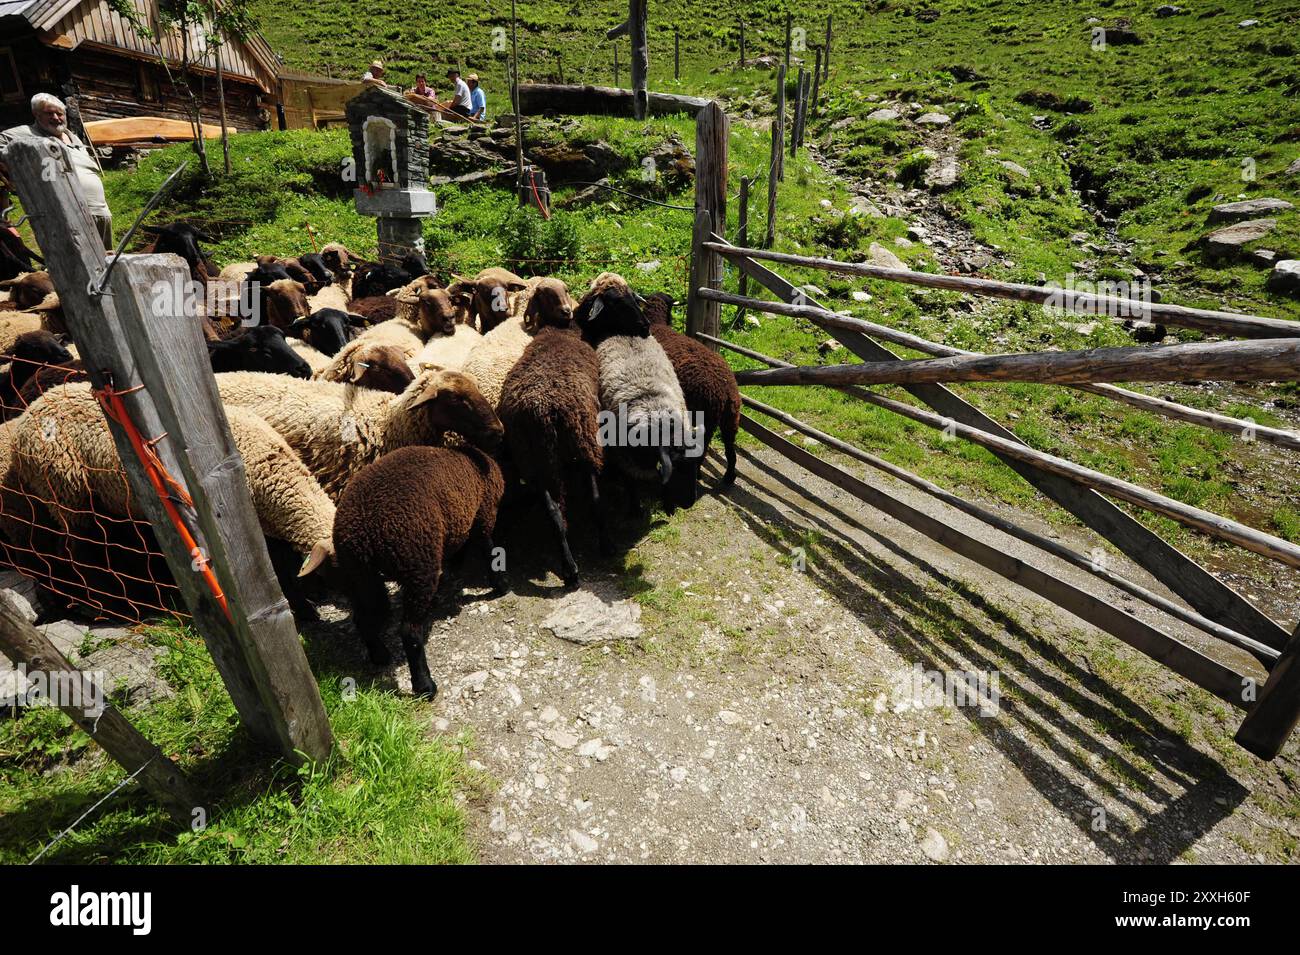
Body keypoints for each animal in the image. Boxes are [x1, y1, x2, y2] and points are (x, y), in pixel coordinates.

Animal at [333, 444, 507, 698]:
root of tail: (364, 534)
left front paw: (457, 563)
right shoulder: (483, 515)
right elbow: (489, 550)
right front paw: (501, 586)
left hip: (361, 574)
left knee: (364, 617)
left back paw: (380, 655)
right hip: (417, 565)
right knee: (409, 631)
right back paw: (425, 686)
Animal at [498, 325, 607, 586]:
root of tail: (544, 412)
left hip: (534, 461)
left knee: (554, 513)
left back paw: (569, 569)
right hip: (585, 445)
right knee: (595, 499)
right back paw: (604, 547)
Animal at [644, 293, 739, 493]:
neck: (658, 324)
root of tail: (726, 391)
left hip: (707, 416)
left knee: (704, 446)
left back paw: (697, 474)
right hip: (731, 416)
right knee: (729, 445)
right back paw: (729, 477)